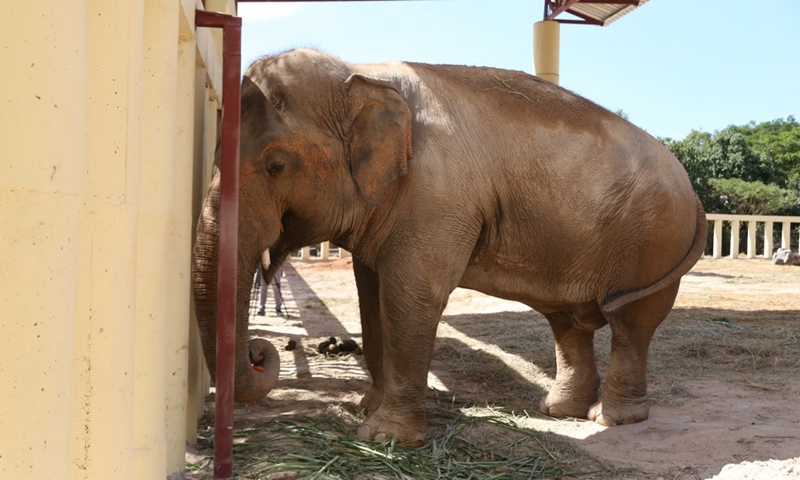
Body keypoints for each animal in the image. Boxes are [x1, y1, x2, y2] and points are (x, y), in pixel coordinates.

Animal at [191, 48, 707, 447]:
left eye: (276, 165)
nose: (260, 351)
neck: (359, 71)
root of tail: (695, 194)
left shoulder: (436, 198)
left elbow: (409, 297)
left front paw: (384, 437)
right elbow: (371, 298)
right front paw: (366, 409)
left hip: (652, 244)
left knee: (629, 323)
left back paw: (611, 419)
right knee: (566, 324)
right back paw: (559, 411)